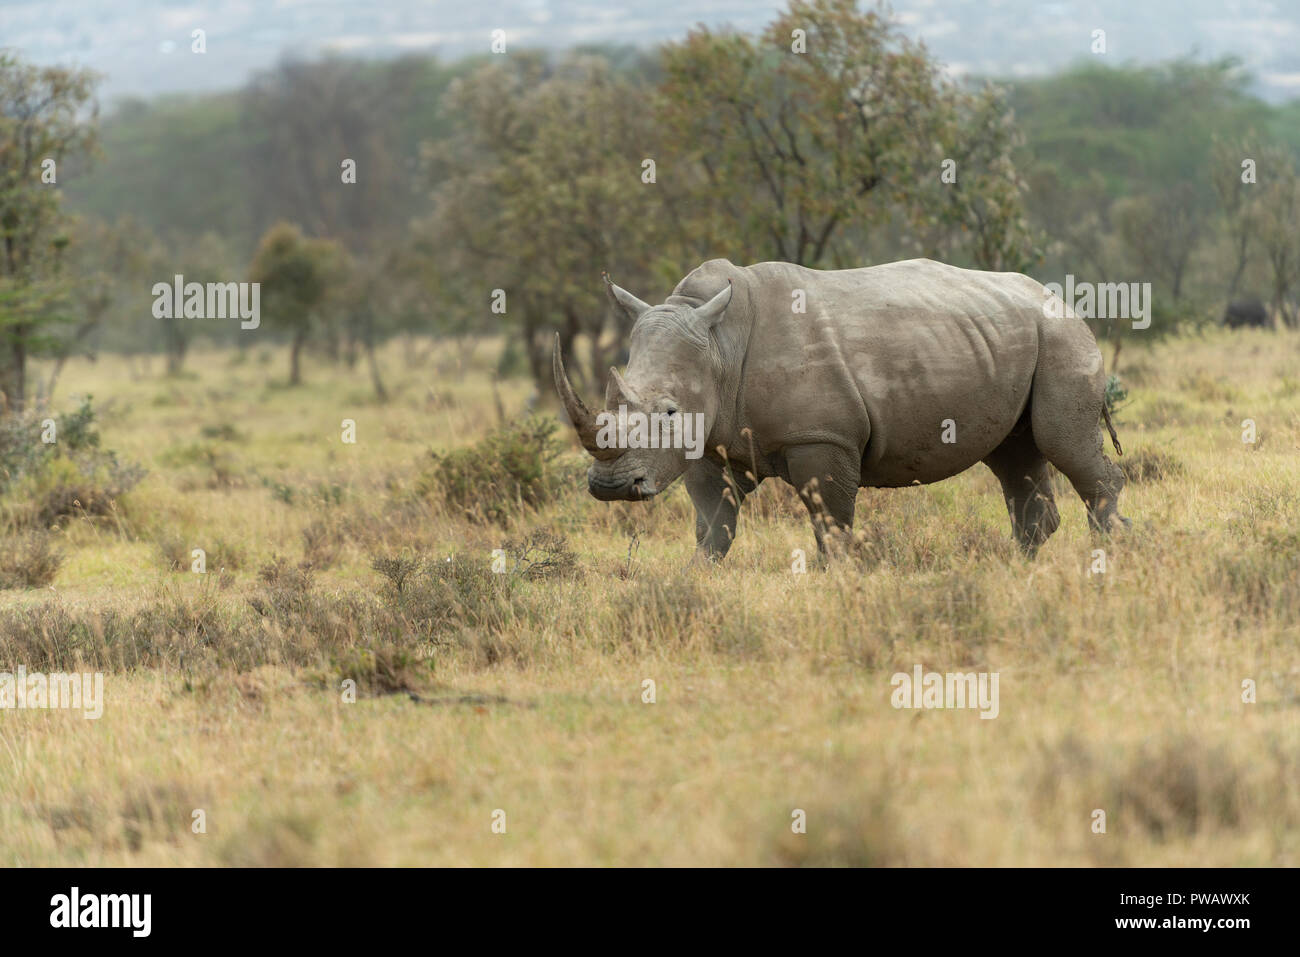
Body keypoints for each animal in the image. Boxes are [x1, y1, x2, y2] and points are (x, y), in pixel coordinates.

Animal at [553, 258, 1128, 560]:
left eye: (669, 413)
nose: (610, 487)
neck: (719, 345)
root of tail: (1061, 300)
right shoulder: (707, 440)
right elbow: (714, 525)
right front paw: (697, 578)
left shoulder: (821, 437)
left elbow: (830, 525)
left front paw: (839, 583)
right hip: (1009, 338)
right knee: (1013, 455)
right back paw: (1022, 568)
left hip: (1061, 337)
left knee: (1061, 444)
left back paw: (1109, 557)